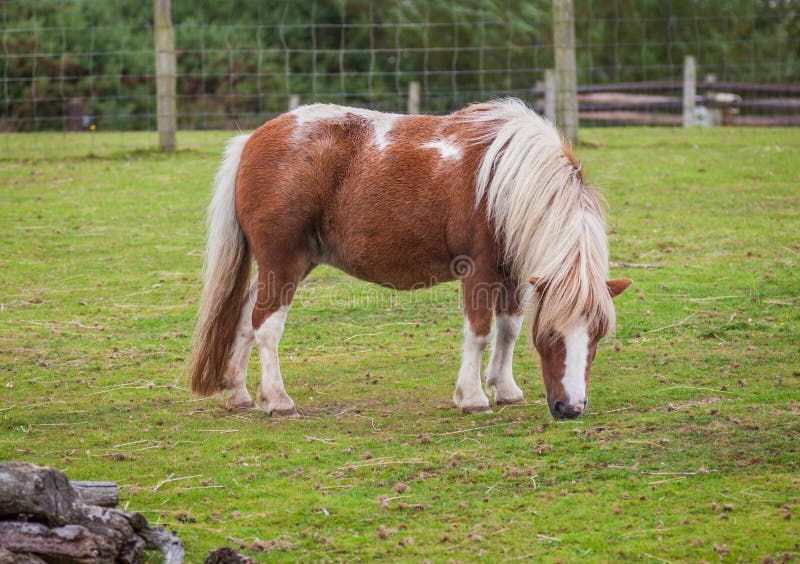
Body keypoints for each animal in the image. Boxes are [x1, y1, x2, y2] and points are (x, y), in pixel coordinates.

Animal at [187, 98, 631, 420]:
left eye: (597, 335)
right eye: (553, 334)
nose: (570, 408)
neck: (501, 179)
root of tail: (251, 141)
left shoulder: (514, 275)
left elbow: (508, 331)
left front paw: (504, 389)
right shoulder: (480, 272)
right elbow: (480, 332)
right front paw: (472, 397)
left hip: (288, 265)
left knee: (246, 319)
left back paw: (241, 395)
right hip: (283, 263)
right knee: (266, 325)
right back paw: (278, 400)